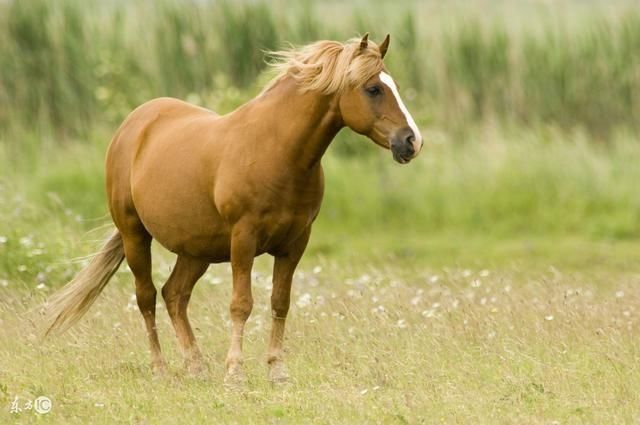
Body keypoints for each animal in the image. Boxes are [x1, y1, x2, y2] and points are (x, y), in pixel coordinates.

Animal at [43, 33, 423, 385]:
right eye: (373, 88)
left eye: (392, 85)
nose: (411, 141)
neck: (277, 150)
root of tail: (134, 124)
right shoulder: (244, 238)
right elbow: (241, 304)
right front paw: (235, 372)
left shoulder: (295, 243)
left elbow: (280, 302)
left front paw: (277, 370)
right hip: (135, 235)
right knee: (147, 297)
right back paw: (160, 369)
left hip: (196, 250)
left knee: (174, 295)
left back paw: (196, 366)